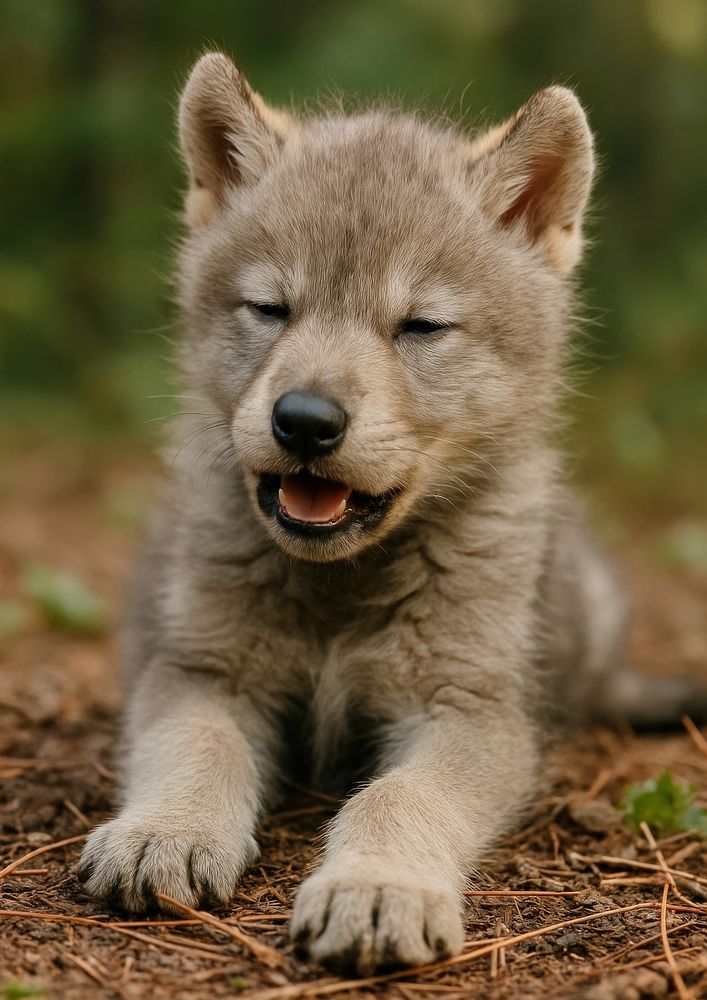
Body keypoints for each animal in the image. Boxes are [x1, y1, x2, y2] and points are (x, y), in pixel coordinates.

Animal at [78, 52, 695, 974]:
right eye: (270, 308)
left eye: (420, 326)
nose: (304, 421)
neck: (342, 588)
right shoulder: (201, 671)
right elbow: (197, 750)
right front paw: (165, 831)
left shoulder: (469, 709)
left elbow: (397, 796)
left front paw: (376, 886)